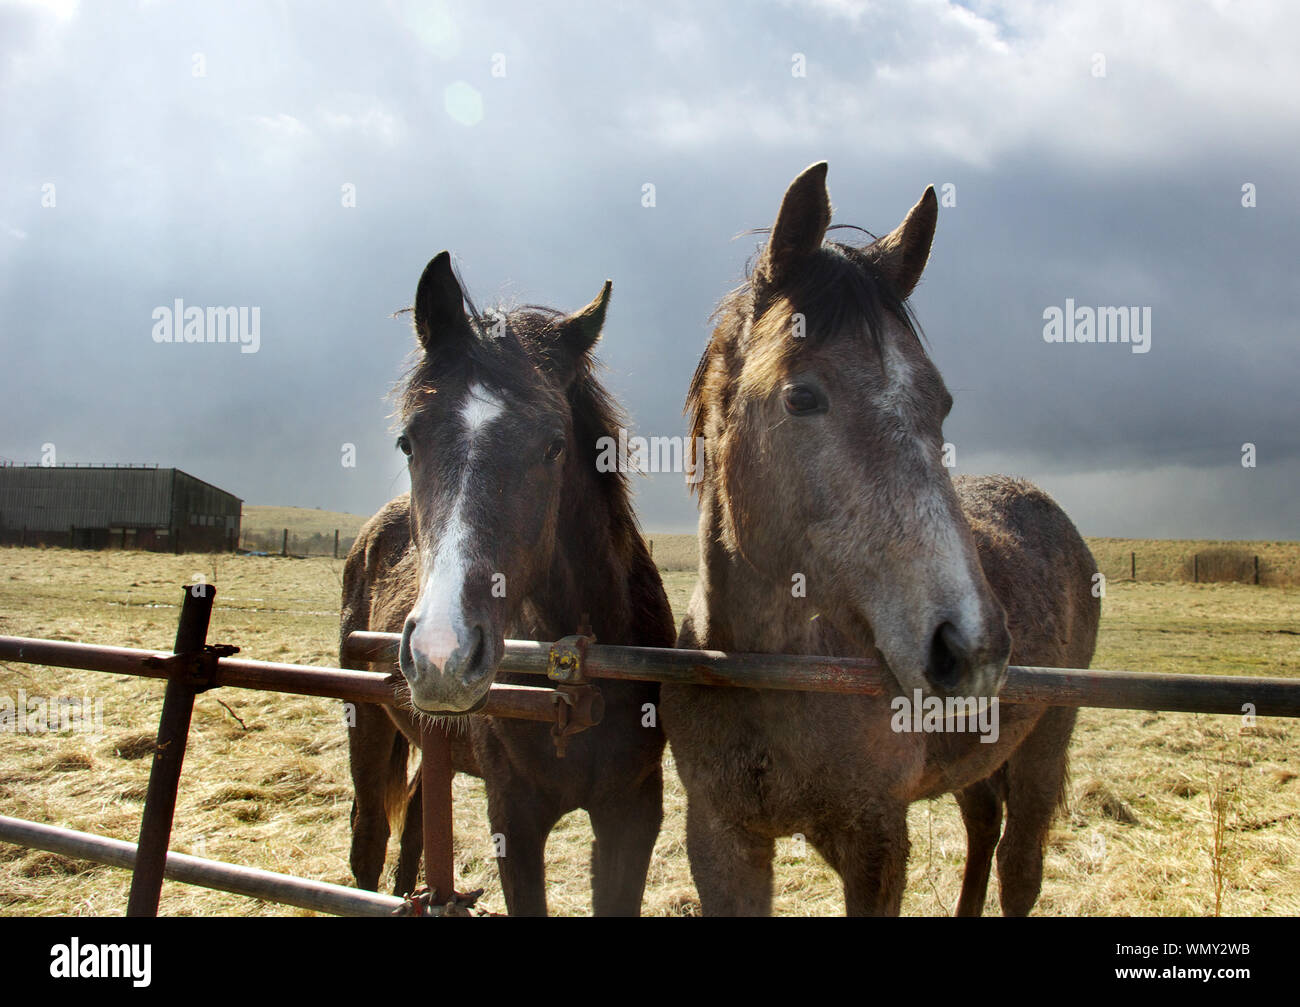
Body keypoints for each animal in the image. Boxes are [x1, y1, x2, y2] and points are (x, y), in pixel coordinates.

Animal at [340, 251, 676, 915]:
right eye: (407, 441)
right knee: (368, 843)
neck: (576, 668)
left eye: (553, 446)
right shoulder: (514, 822)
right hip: (366, 726)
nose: (441, 657)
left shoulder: (632, 813)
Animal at [661, 162, 1100, 916]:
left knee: (1019, 866)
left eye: (941, 402)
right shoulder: (720, 838)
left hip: (1044, 747)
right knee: (982, 823)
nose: (971, 646)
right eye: (800, 396)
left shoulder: (876, 839)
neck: (769, 671)